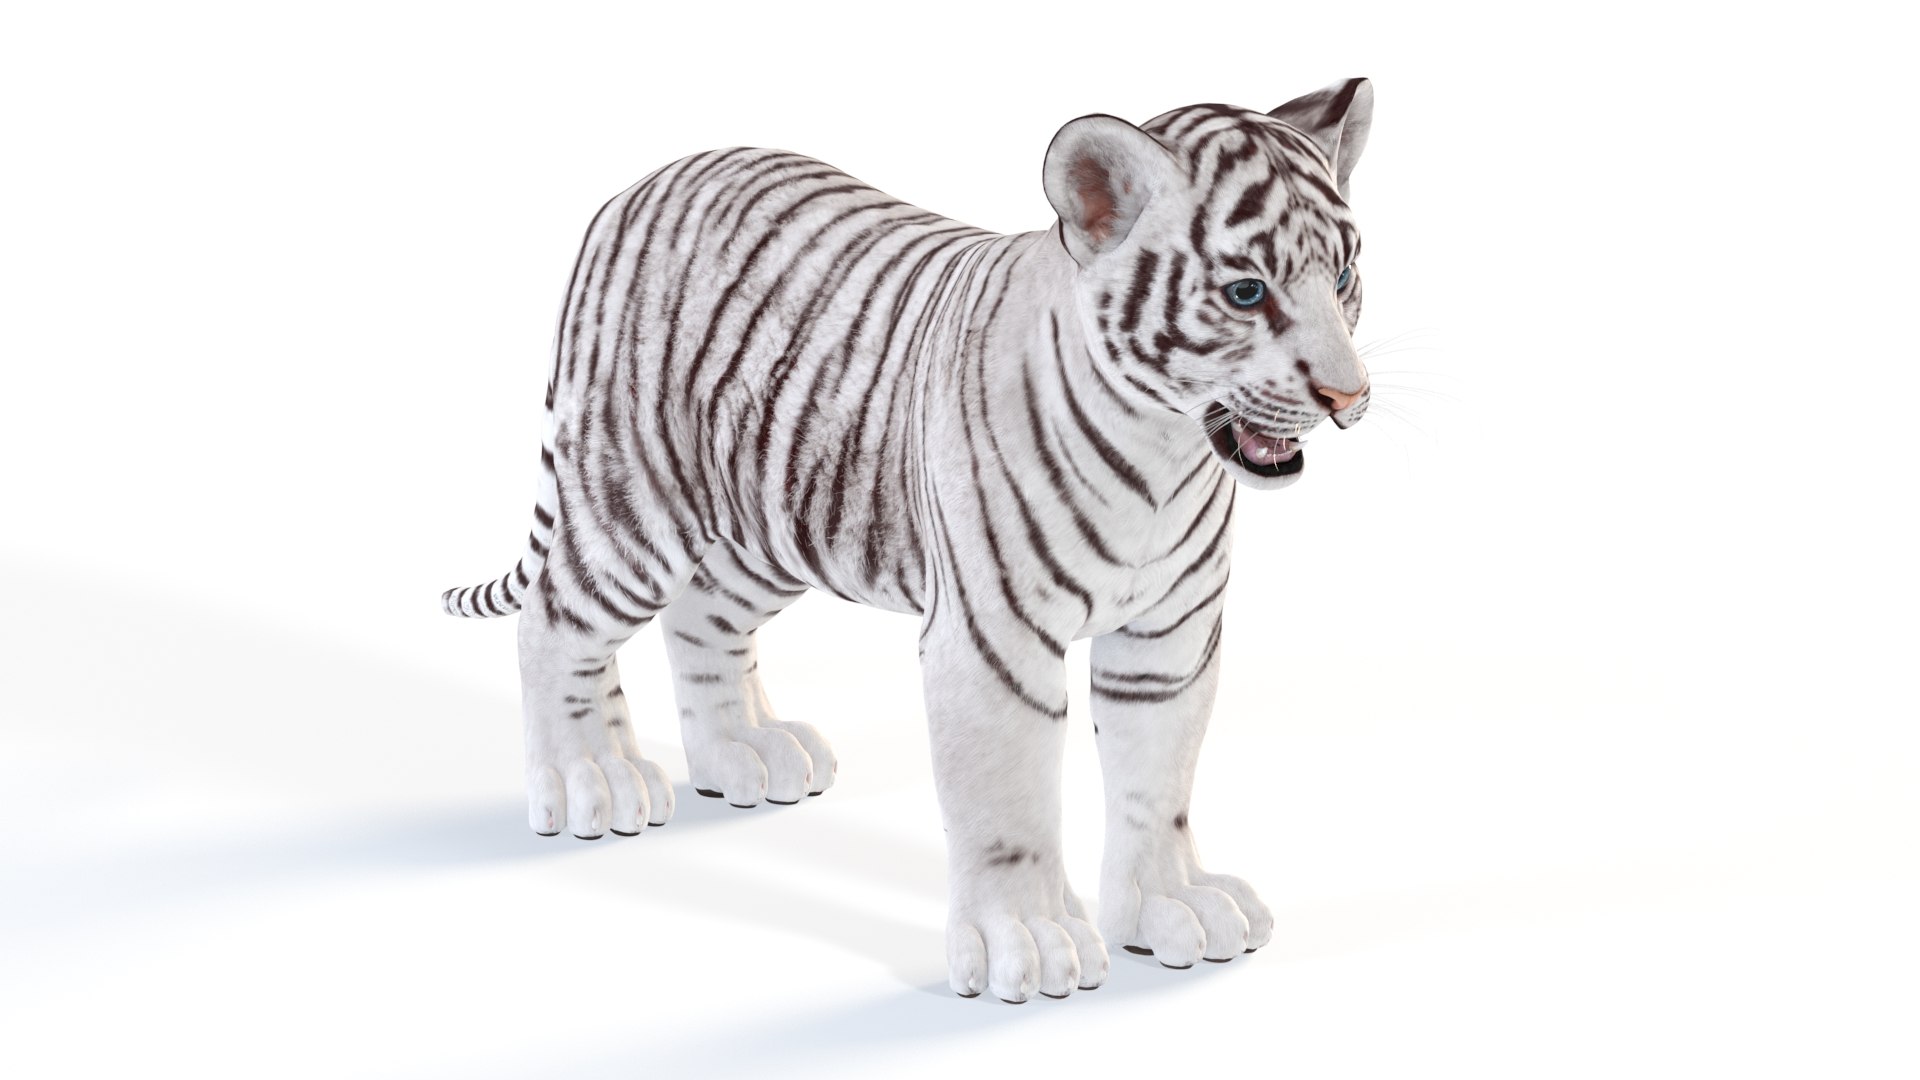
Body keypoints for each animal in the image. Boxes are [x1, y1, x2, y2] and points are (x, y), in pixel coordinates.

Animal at [442, 77, 1376, 1003]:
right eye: (1247, 293)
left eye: (1342, 274)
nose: (1348, 395)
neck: (1165, 454)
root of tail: (643, 184)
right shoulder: (994, 642)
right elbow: (1006, 801)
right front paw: (1027, 942)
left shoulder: (1168, 641)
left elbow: (1159, 783)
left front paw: (1171, 905)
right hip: (634, 503)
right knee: (555, 622)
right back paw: (591, 780)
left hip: (770, 524)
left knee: (699, 619)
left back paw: (743, 752)